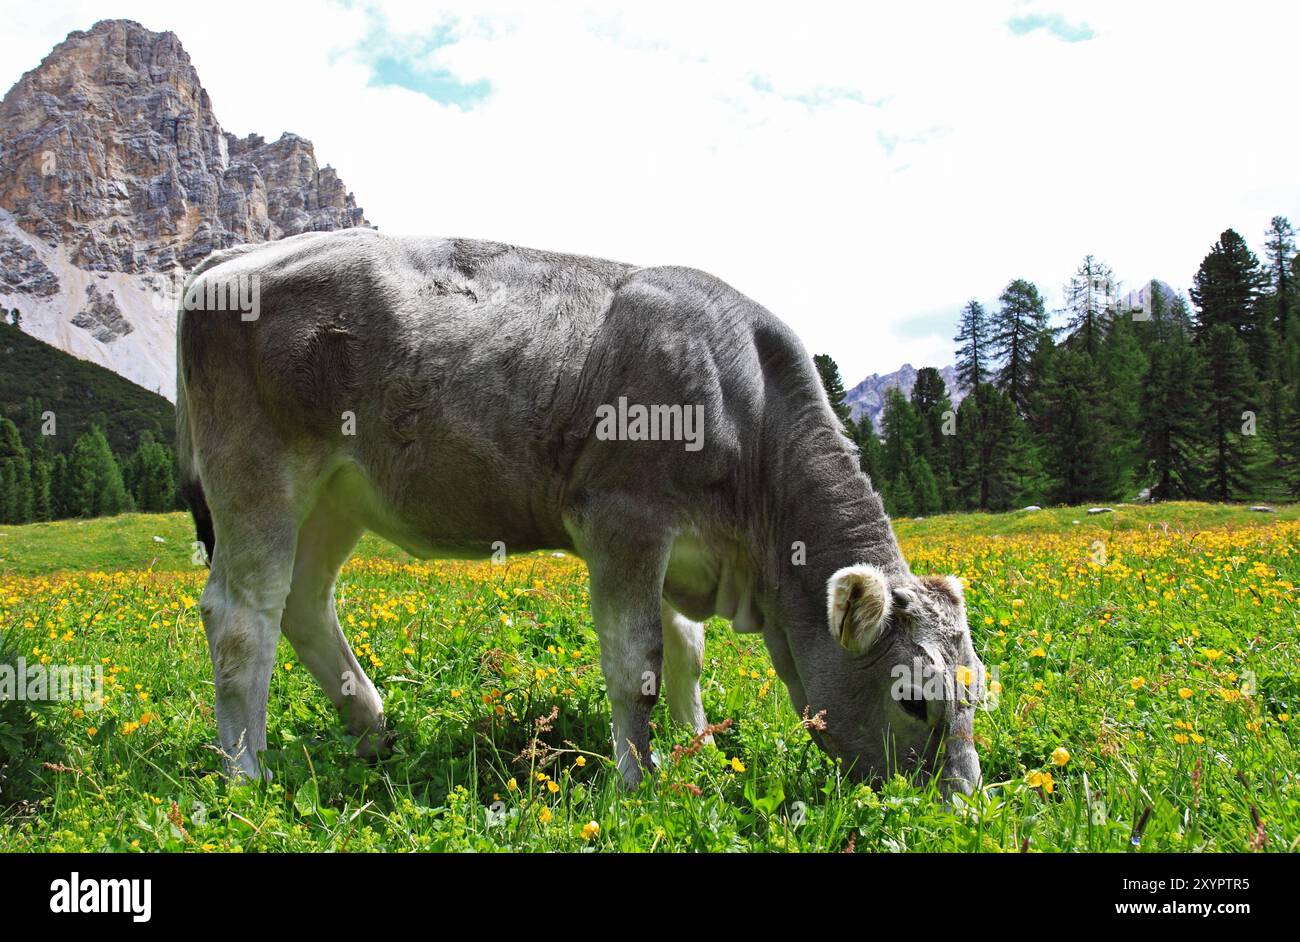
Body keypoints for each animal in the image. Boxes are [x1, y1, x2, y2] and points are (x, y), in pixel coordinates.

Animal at [176, 228, 984, 797]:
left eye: (980, 689)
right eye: (915, 702)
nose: (963, 806)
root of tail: (237, 254)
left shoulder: (680, 548)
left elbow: (687, 654)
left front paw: (698, 752)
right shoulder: (625, 520)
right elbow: (639, 664)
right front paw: (638, 781)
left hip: (335, 497)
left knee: (304, 603)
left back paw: (373, 732)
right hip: (258, 474)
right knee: (242, 616)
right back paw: (247, 774)